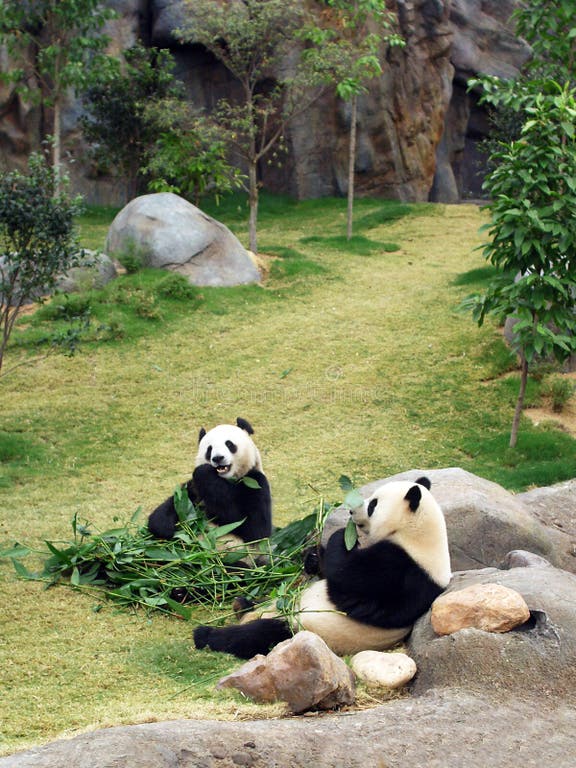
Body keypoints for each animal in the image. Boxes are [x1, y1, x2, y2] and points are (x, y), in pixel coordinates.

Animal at [147, 417, 272, 546]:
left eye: (229, 444)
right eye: (209, 449)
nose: (218, 458)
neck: (225, 479)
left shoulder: (254, 481)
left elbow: (254, 527)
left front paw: (204, 472)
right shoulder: (194, 489)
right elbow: (177, 503)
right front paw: (163, 527)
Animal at [193, 476, 451, 659]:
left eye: (373, 505)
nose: (351, 511)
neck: (418, 536)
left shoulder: (401, 570)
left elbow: (346, 585)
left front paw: (341, 534)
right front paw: (313, 556)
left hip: (302, 628)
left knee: (254, 635)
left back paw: (206, 635)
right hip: (282, 603)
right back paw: (242, 604)